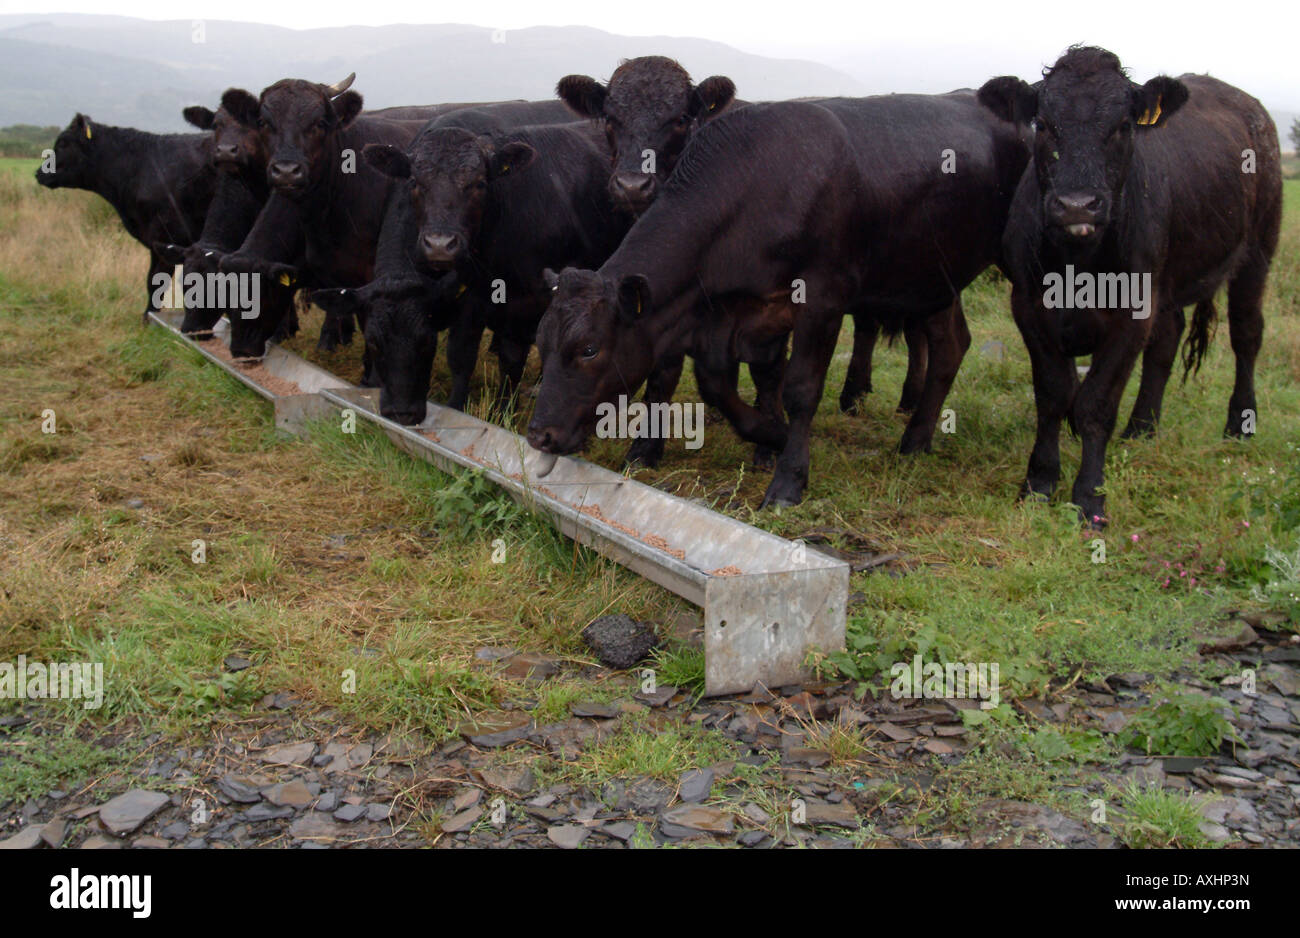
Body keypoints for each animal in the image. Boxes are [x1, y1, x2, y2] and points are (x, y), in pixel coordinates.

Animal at [35, 114, 217, 322]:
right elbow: (151, 279)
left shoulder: (165, 237)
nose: (38, 174)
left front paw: (147, 318)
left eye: (63, 143)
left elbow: (157, 279)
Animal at [355, 116, 629, 423]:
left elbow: (514, 357)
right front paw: (460, 406)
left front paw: (503, 411)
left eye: (479, 184)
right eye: (415, 181)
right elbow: (462, 354)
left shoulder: (529, 301)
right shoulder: (468, 297)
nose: (439, 245)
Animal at [527, 94, 1029, 508]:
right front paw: (772, 435)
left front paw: (788, 477)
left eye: (589, 349)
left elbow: (800, 388)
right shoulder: (738, 312)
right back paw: (916, 439)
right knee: (951, 344)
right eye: (542, 343)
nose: (539, 434)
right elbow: (721, 383)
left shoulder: (822, 297)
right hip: (933, 276)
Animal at [978, 46, 1282, 526]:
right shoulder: (1028, 305)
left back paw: (1240, 424)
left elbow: (1096, 403)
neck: (1078, 263)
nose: (1077, 205)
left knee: (1247, 334)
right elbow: (1052, 395)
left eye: (1122, 126)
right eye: (1042, 123)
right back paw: (1141, 428)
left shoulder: (1131, 313)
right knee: (1168, 341)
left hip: (1258, 252)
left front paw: (1089, 498)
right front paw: (1038, 483)